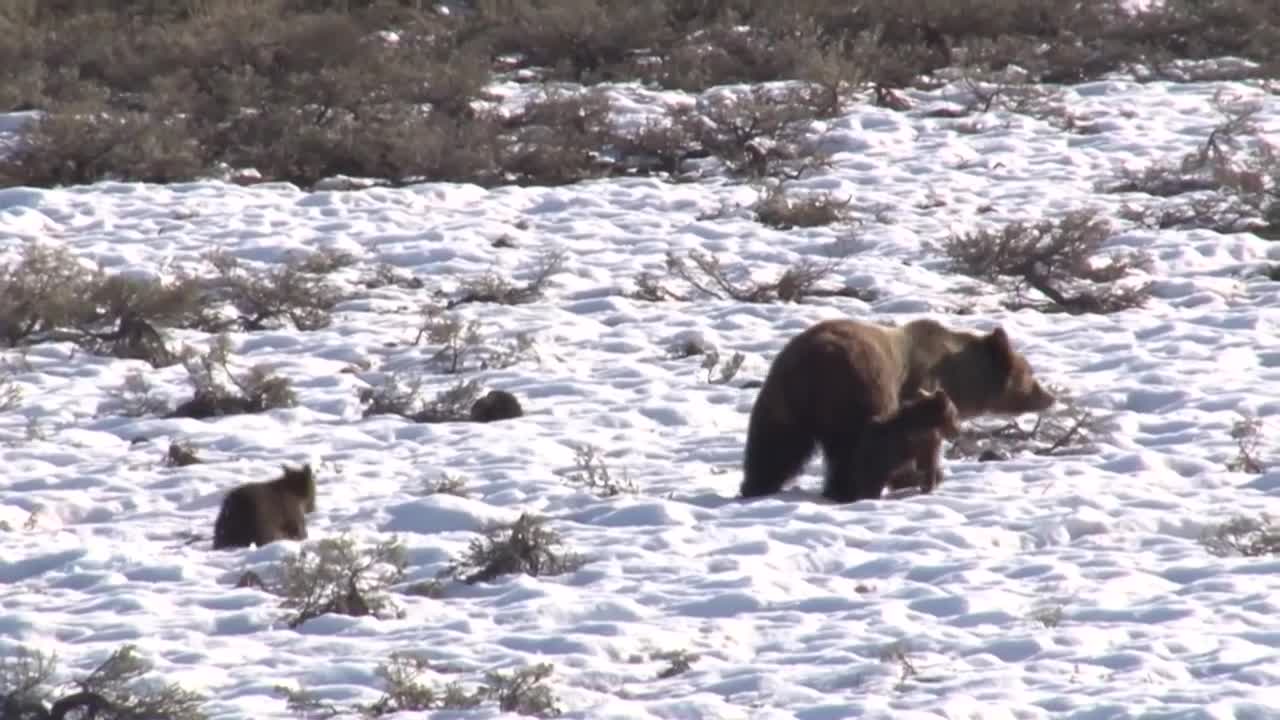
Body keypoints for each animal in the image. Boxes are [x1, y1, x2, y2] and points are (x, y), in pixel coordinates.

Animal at [739, 317, 1055, 503]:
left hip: (780, 402)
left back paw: (757, 486)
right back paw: (849, 489)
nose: (1050, 397)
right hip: (859, 390)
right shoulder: (916, 389)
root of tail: (809, 366)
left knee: (772, 449)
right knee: (855, 450)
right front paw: (924, 476)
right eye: (1030, 373)